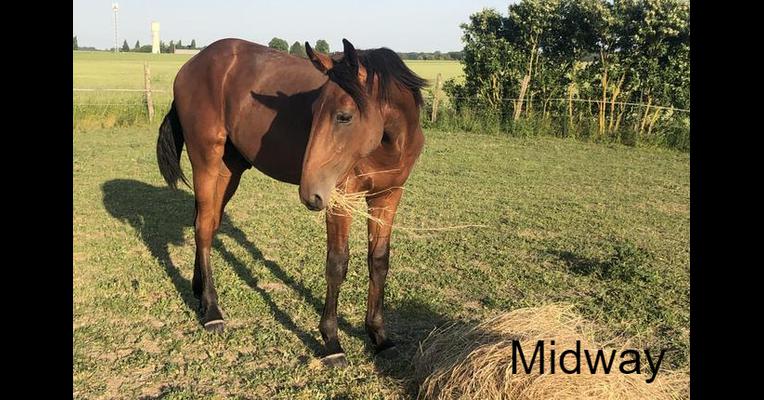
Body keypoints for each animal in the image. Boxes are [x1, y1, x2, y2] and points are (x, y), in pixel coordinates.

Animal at [156, 38, 427, 366]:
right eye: (314, 109)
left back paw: (199, 292)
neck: (391, 144)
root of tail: (192, 65)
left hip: (229, 169)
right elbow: (337, 263)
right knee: (204, 228)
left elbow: (379, 261)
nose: (311, 192)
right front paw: (332, 341)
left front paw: (379, 337)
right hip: (206, 161)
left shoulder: (387, 196)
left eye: (344, 116)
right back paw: (212, 311)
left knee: (205, 223)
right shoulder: (341, 199)